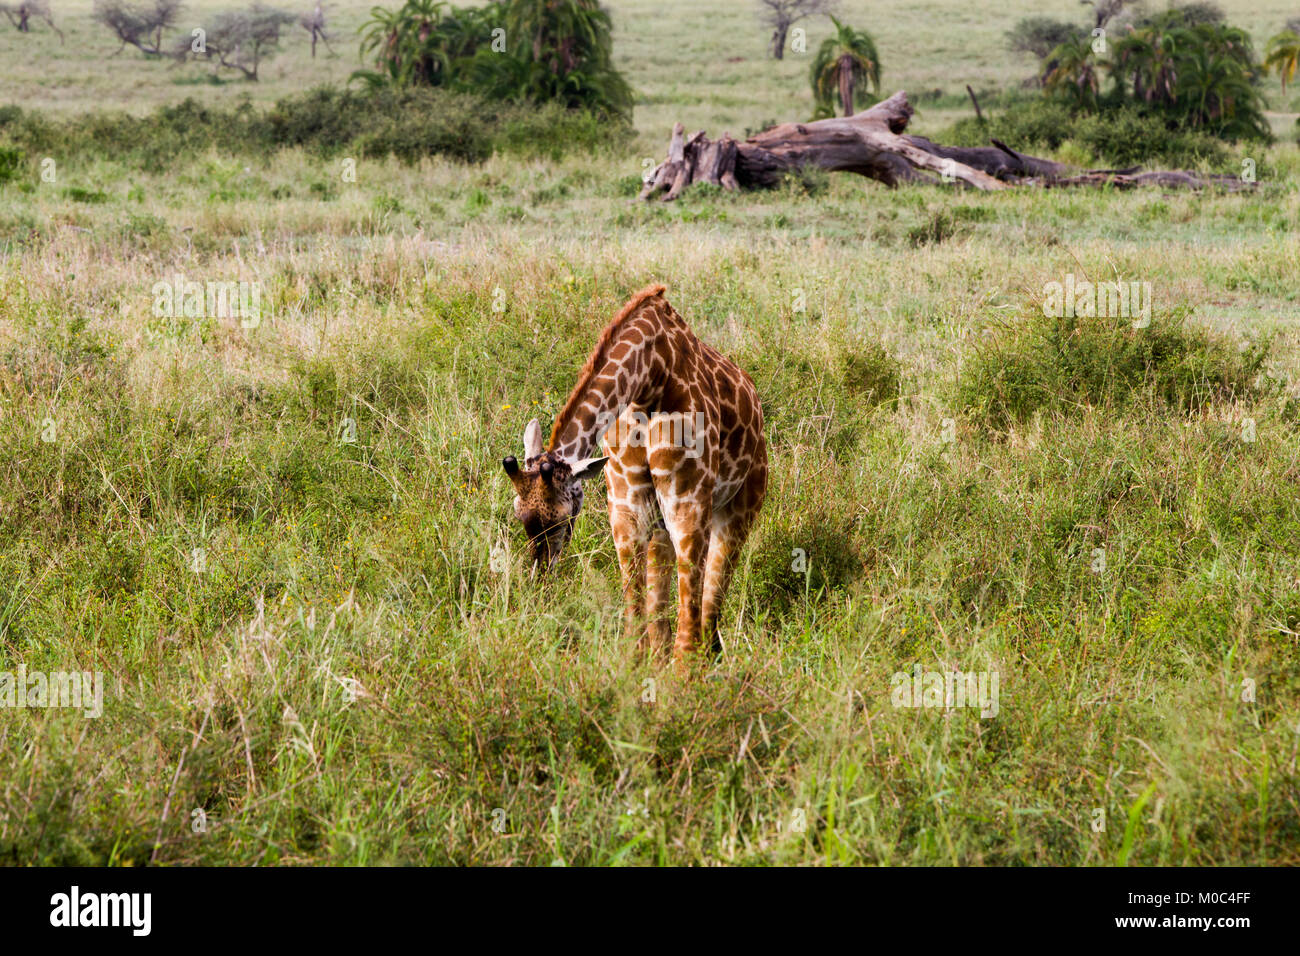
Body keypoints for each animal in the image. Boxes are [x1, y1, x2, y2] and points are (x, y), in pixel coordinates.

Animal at [501, 284, 767, 665]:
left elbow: (690, 590)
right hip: (663, 520)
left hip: (741, 505)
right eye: (520, 516)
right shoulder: (625, 500)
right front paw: (636, 663)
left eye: (562, 518)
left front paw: (684, 674)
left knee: (711, 593)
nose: (542, 579)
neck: (650, 379)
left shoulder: (688, 498)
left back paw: (705, 658)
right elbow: (635, 590)